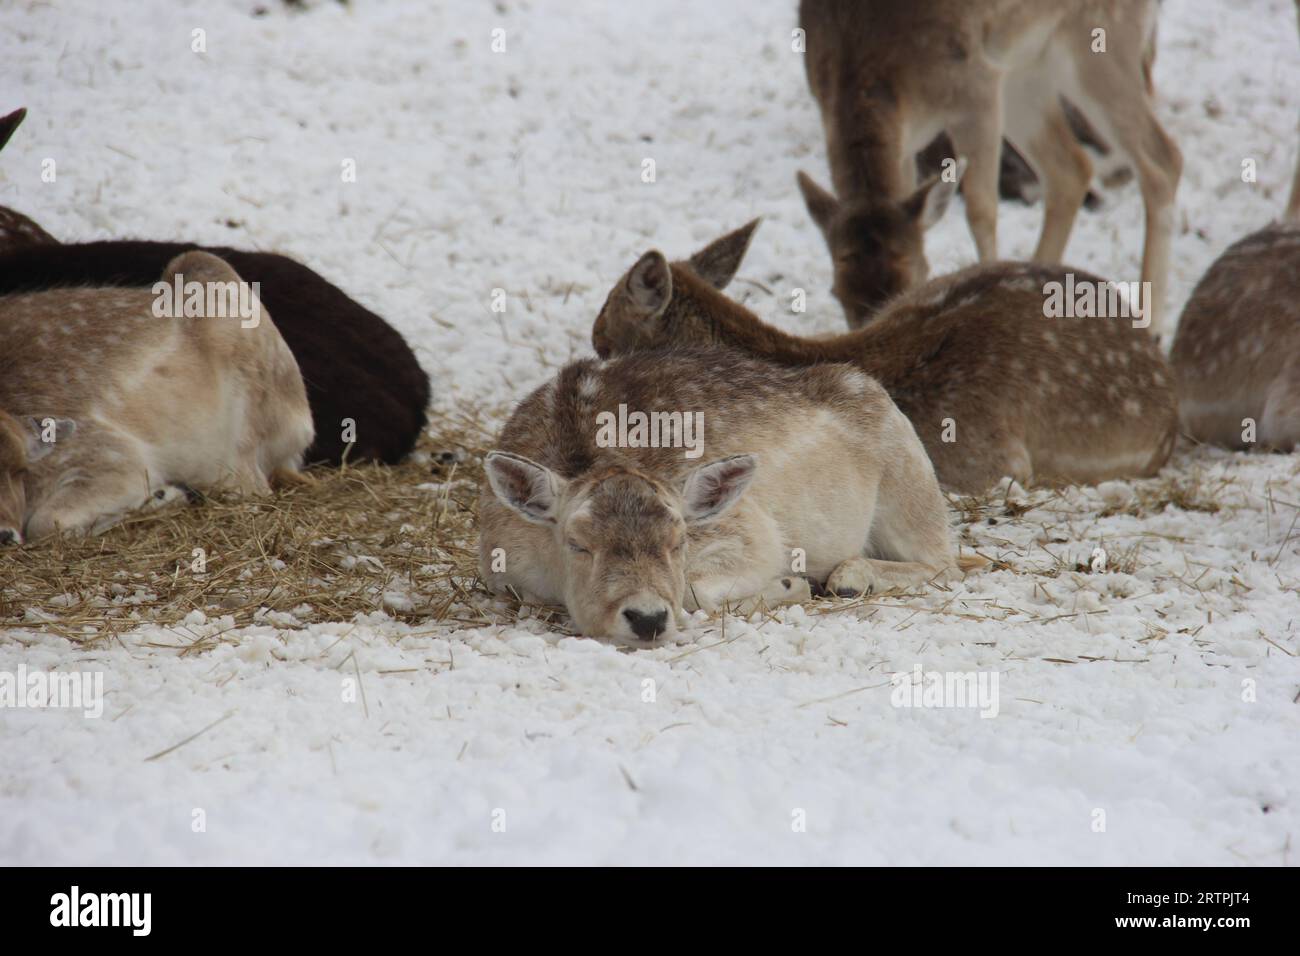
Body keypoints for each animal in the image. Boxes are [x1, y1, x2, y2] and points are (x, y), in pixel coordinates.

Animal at [0, 251, 313, 541]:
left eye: (20, 469)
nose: (5, 535)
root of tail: (304, 426)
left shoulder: (107, 453)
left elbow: (45, 523)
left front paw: (165, 496)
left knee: (251, 486)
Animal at [480, 348, 977, 647]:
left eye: (678, 541)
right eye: (578, 543)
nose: (647, 618)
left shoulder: (750, 532)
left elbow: (695, 590)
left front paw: (791, 584)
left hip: (908, 476)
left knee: (945, 563)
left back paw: (851, 576)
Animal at [795, 0, 1185, 338]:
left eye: (916, 275)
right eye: (836, 291)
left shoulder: (975, 87)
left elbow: (980, 211)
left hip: (1098, 41)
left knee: (1162, 159)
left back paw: (1151, 326)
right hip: (1027, 70)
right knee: (1070, 168)